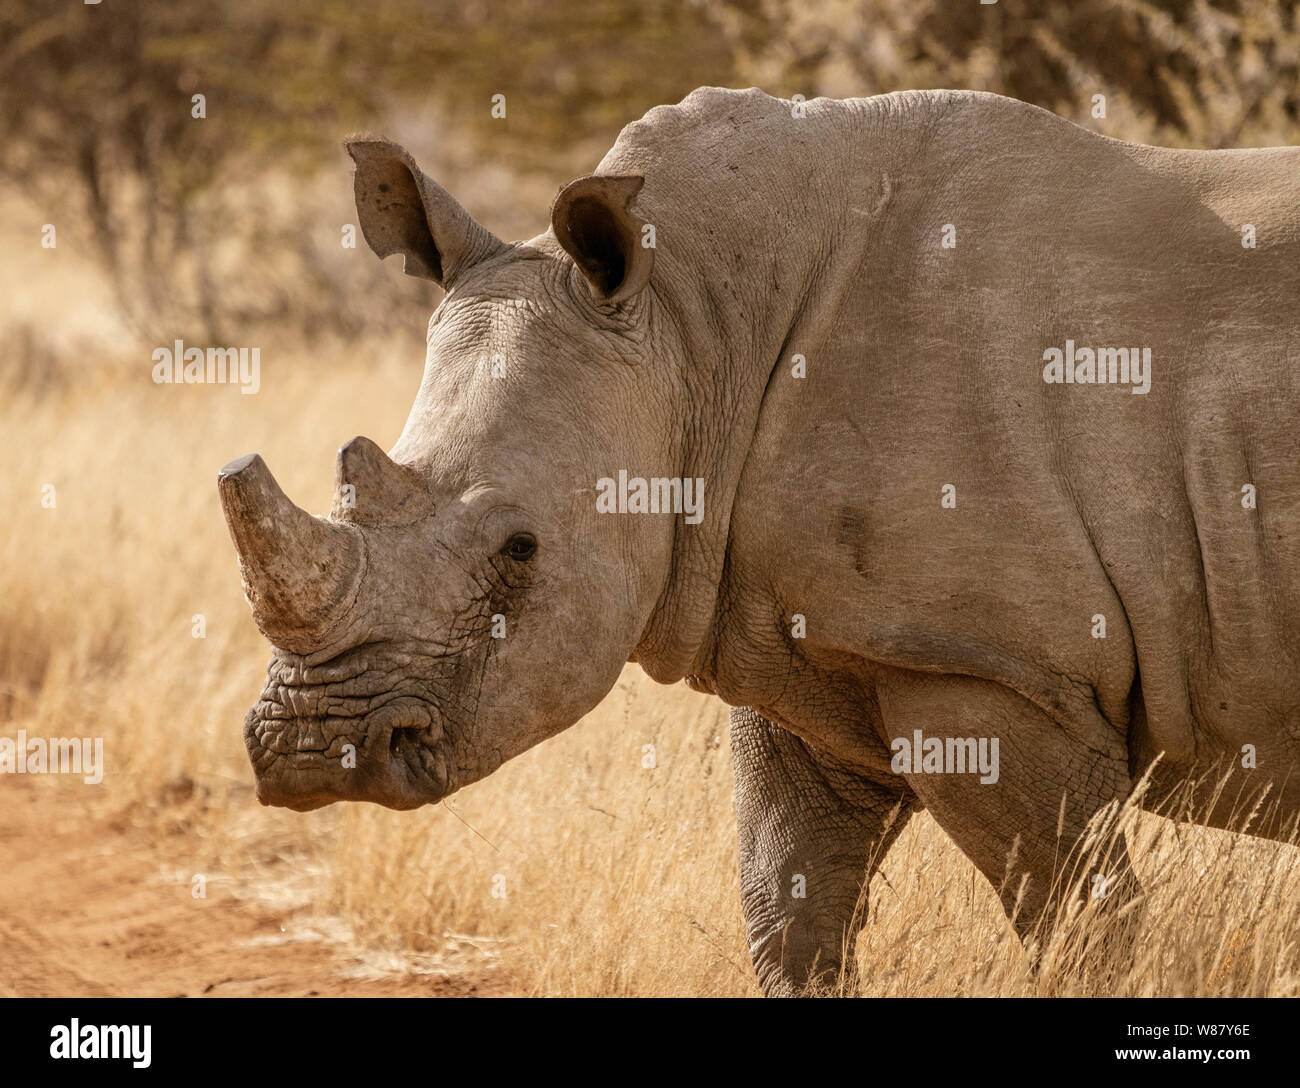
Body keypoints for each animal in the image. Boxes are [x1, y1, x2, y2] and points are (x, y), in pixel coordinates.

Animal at [219, 88, 1300, 996]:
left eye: (519, 549)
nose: (309, 754)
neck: (690, 328)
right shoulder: (828, 642)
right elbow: (786, 901)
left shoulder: (990, 667)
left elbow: (1080, 926)